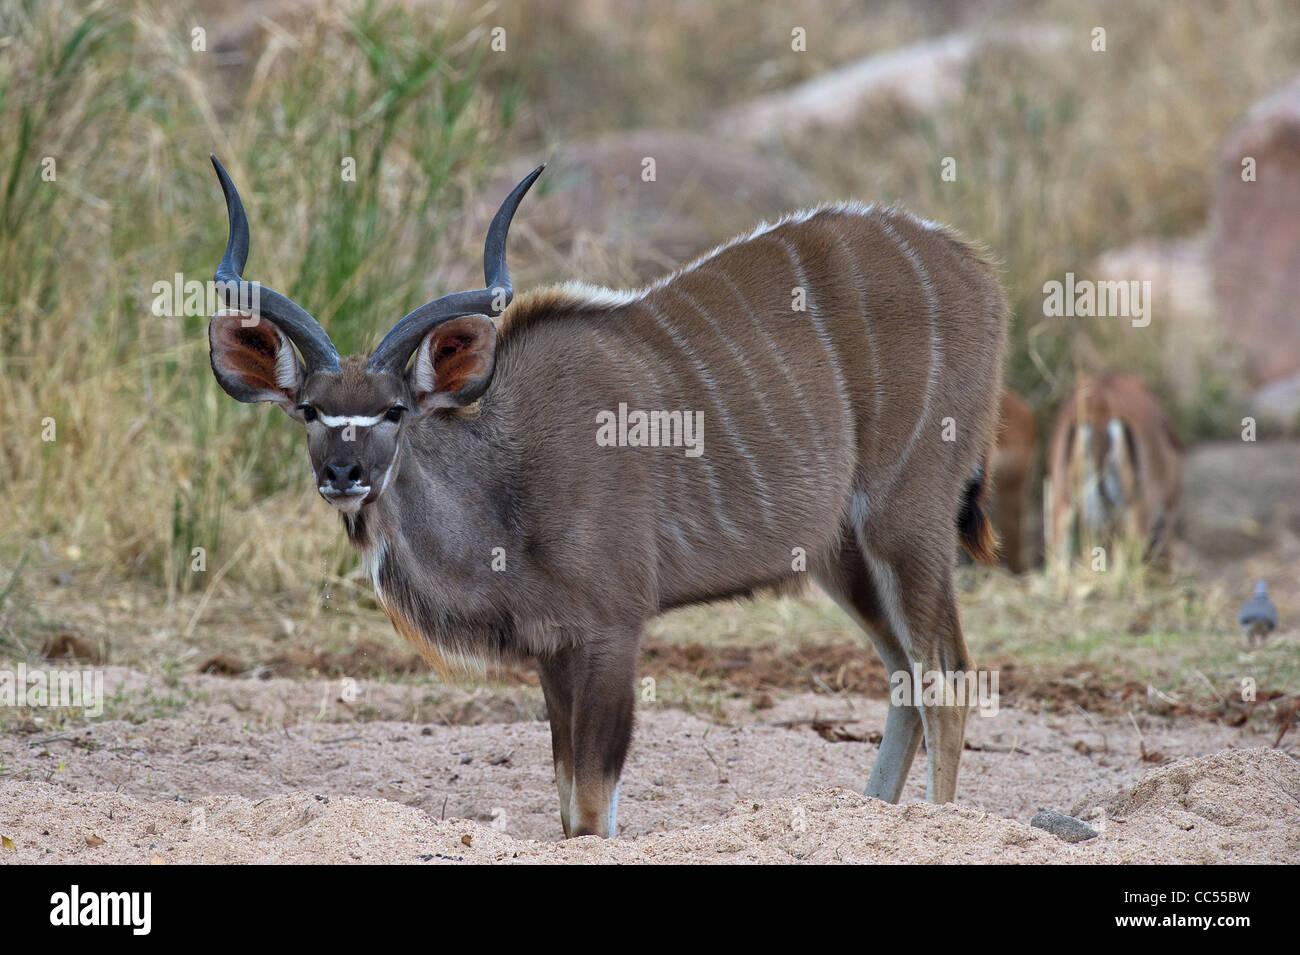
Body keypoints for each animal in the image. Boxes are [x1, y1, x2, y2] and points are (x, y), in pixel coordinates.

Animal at [205, 155, 1008, 838]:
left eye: (394, 410)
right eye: (311, 409)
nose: (343, 474)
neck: (506, 474)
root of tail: (976, 269)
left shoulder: (611, 631)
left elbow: (593, 810)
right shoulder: (553, 647)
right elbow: (568, 806)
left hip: (906, 519)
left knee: (945, 675)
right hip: (843, 554)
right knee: (905, 675)